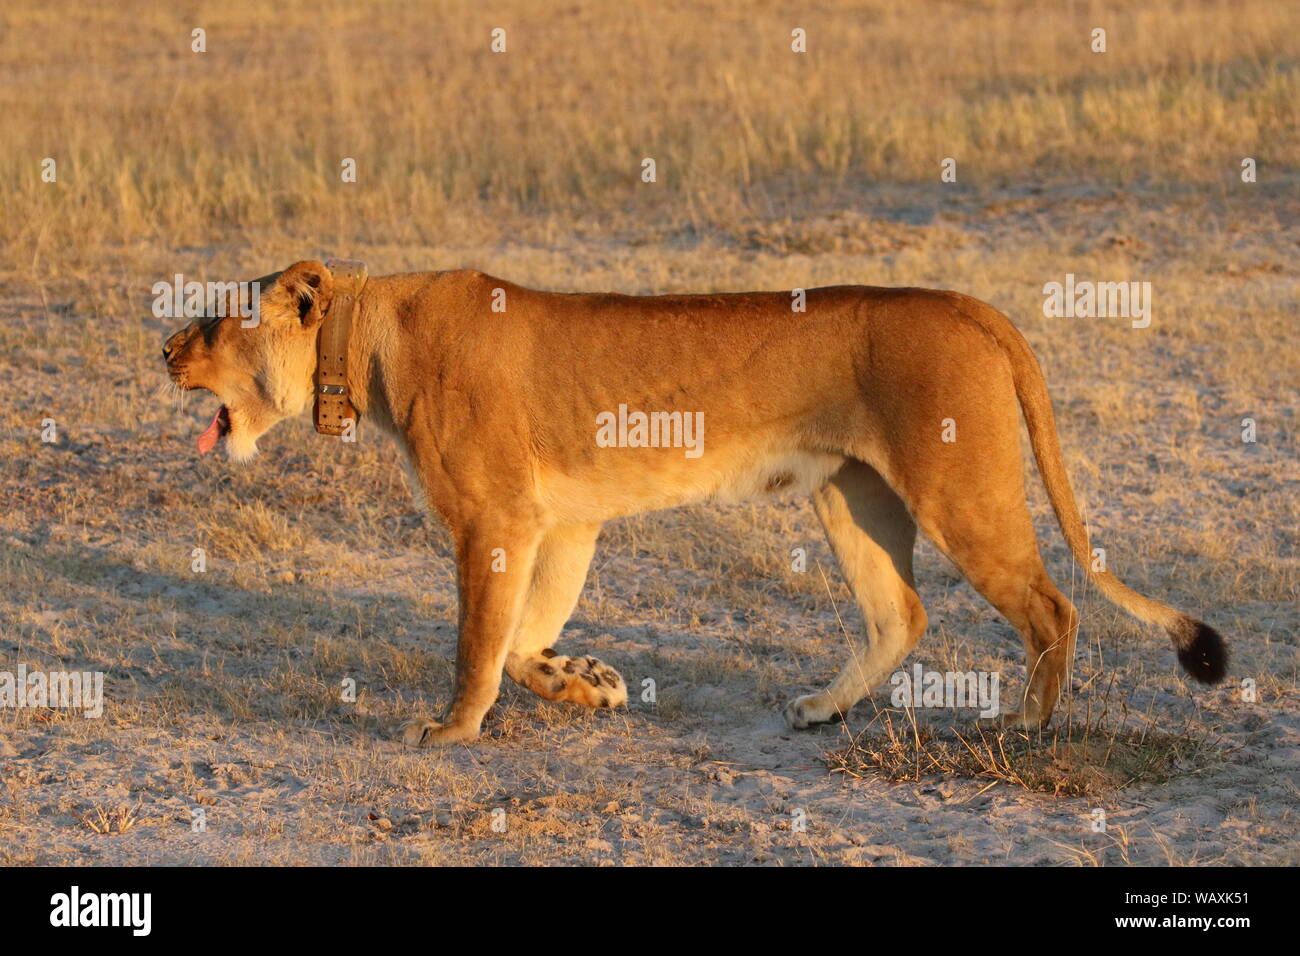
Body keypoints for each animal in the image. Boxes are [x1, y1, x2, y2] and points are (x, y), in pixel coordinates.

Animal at [162, 259, 1227, 746]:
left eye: (215, 319)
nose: (163, 349)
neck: (368, 338)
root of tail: (972, 304)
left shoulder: (495, 520)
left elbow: (478, 639)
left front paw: (452, 731)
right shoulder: (562, 519)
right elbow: (521, 635)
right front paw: (586, 682)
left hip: (956, 490)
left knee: (1051, 606)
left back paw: (1027, 729)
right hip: (851, 495)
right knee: (903, 612)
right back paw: (821, 709)